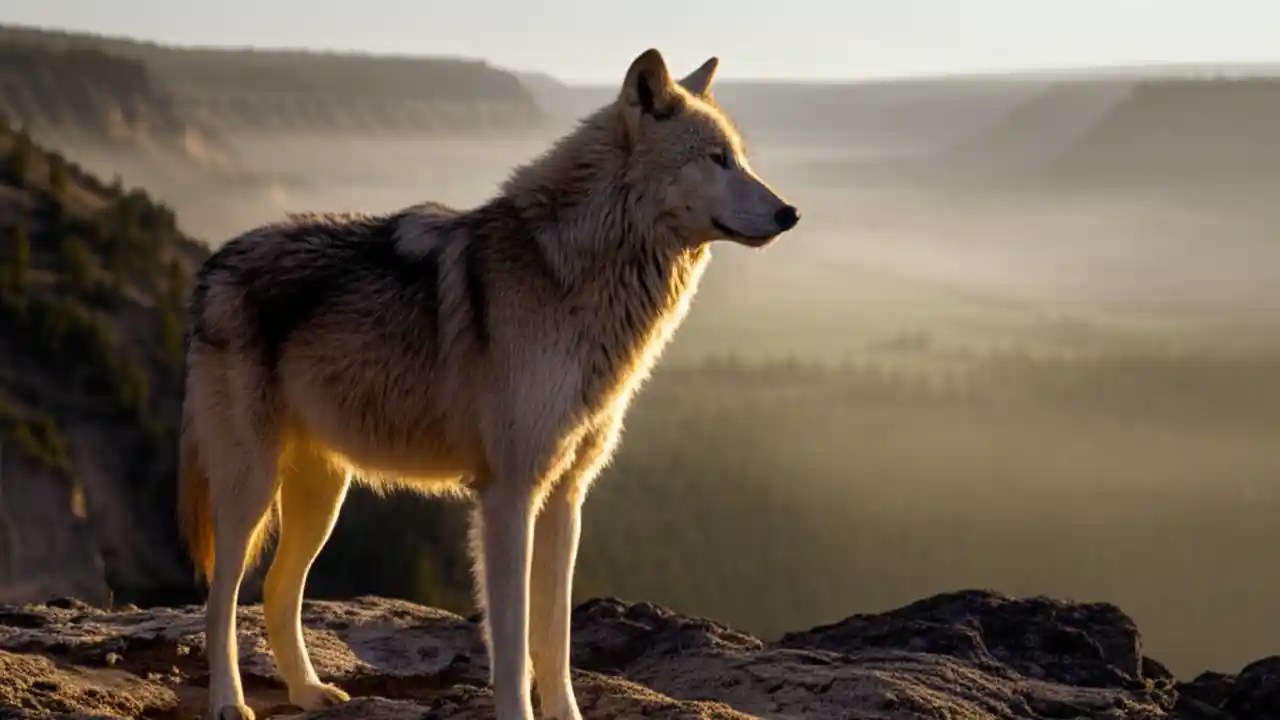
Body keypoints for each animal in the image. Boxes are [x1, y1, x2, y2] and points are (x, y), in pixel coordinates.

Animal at [179, 49, 799, 720]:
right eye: (717, 158)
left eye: (740, 156)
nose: (790, 213)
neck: (572, 276)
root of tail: (213, 265)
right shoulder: (508, 495)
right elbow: (512, 639)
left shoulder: (566, 497)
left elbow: (555, 639)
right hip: (250, 488)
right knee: (220, 597)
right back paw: (229, 702)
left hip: (323, 496)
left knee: (276, 590)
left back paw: (310, 691)